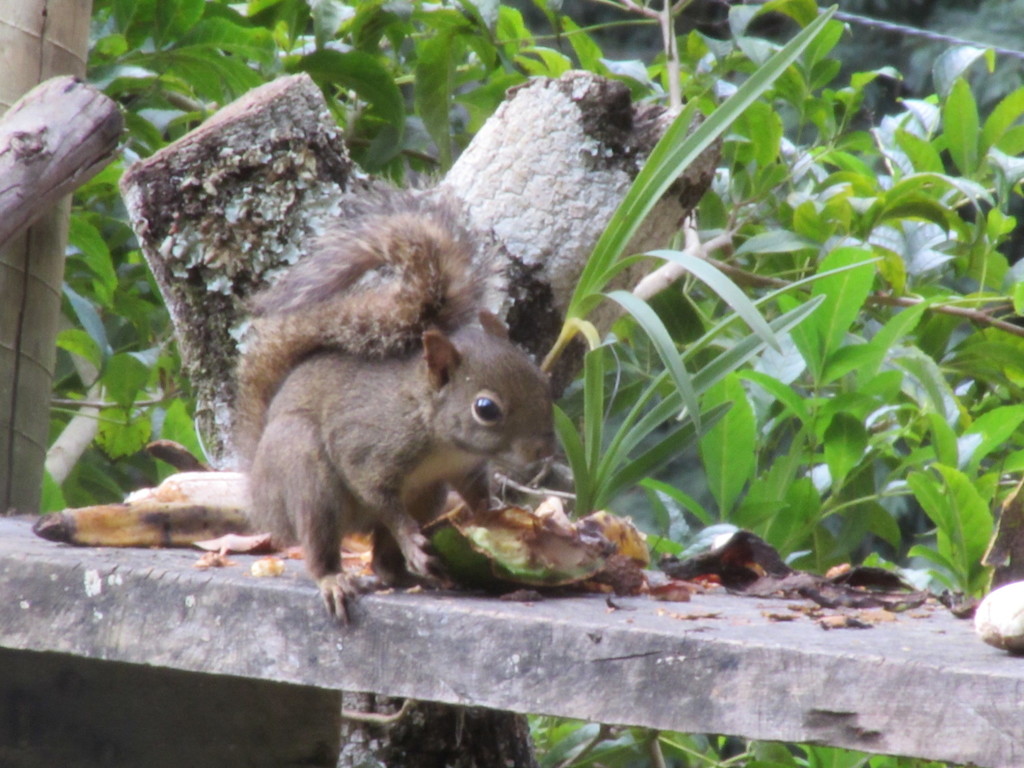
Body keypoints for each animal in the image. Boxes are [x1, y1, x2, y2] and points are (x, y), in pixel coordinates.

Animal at [234, 189, 556, 620]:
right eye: (486, 409)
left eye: (542, 381)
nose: (544, 451)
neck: (439, 437)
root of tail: (259, 492)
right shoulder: (369, 448)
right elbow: (378, 495)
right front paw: (411, 535)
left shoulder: (463, 469)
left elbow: (474, 492)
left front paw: (489, 514)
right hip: (305, 472)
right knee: (320, 540)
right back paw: (335, 578)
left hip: (426, 495)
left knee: (383, 560)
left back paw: (413, 574)